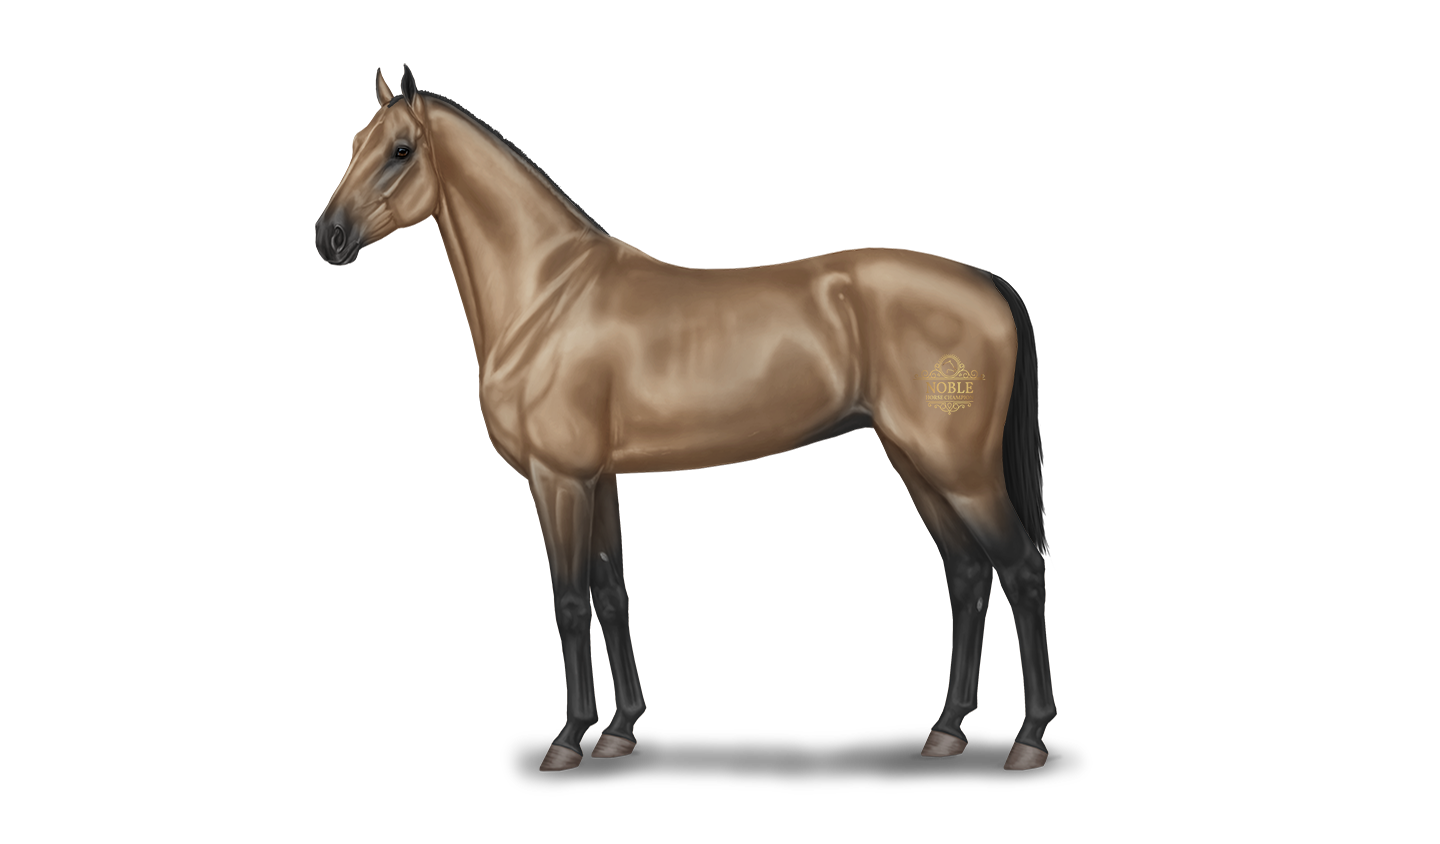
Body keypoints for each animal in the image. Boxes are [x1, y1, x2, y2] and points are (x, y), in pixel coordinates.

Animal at [316, 65, 1057, 772]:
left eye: (401, 149)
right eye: (358, 142)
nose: (330, 236)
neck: (547, 297)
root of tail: (984, 281)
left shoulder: (559, 479)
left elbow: (569, 602)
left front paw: (569, 739)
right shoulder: (596, 480)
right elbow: (611, 594)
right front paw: (619, 731)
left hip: (961, 470)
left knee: (1019, 571)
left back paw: (1030, 738)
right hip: (917, 463)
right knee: (967, 576)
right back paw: (948, 729)